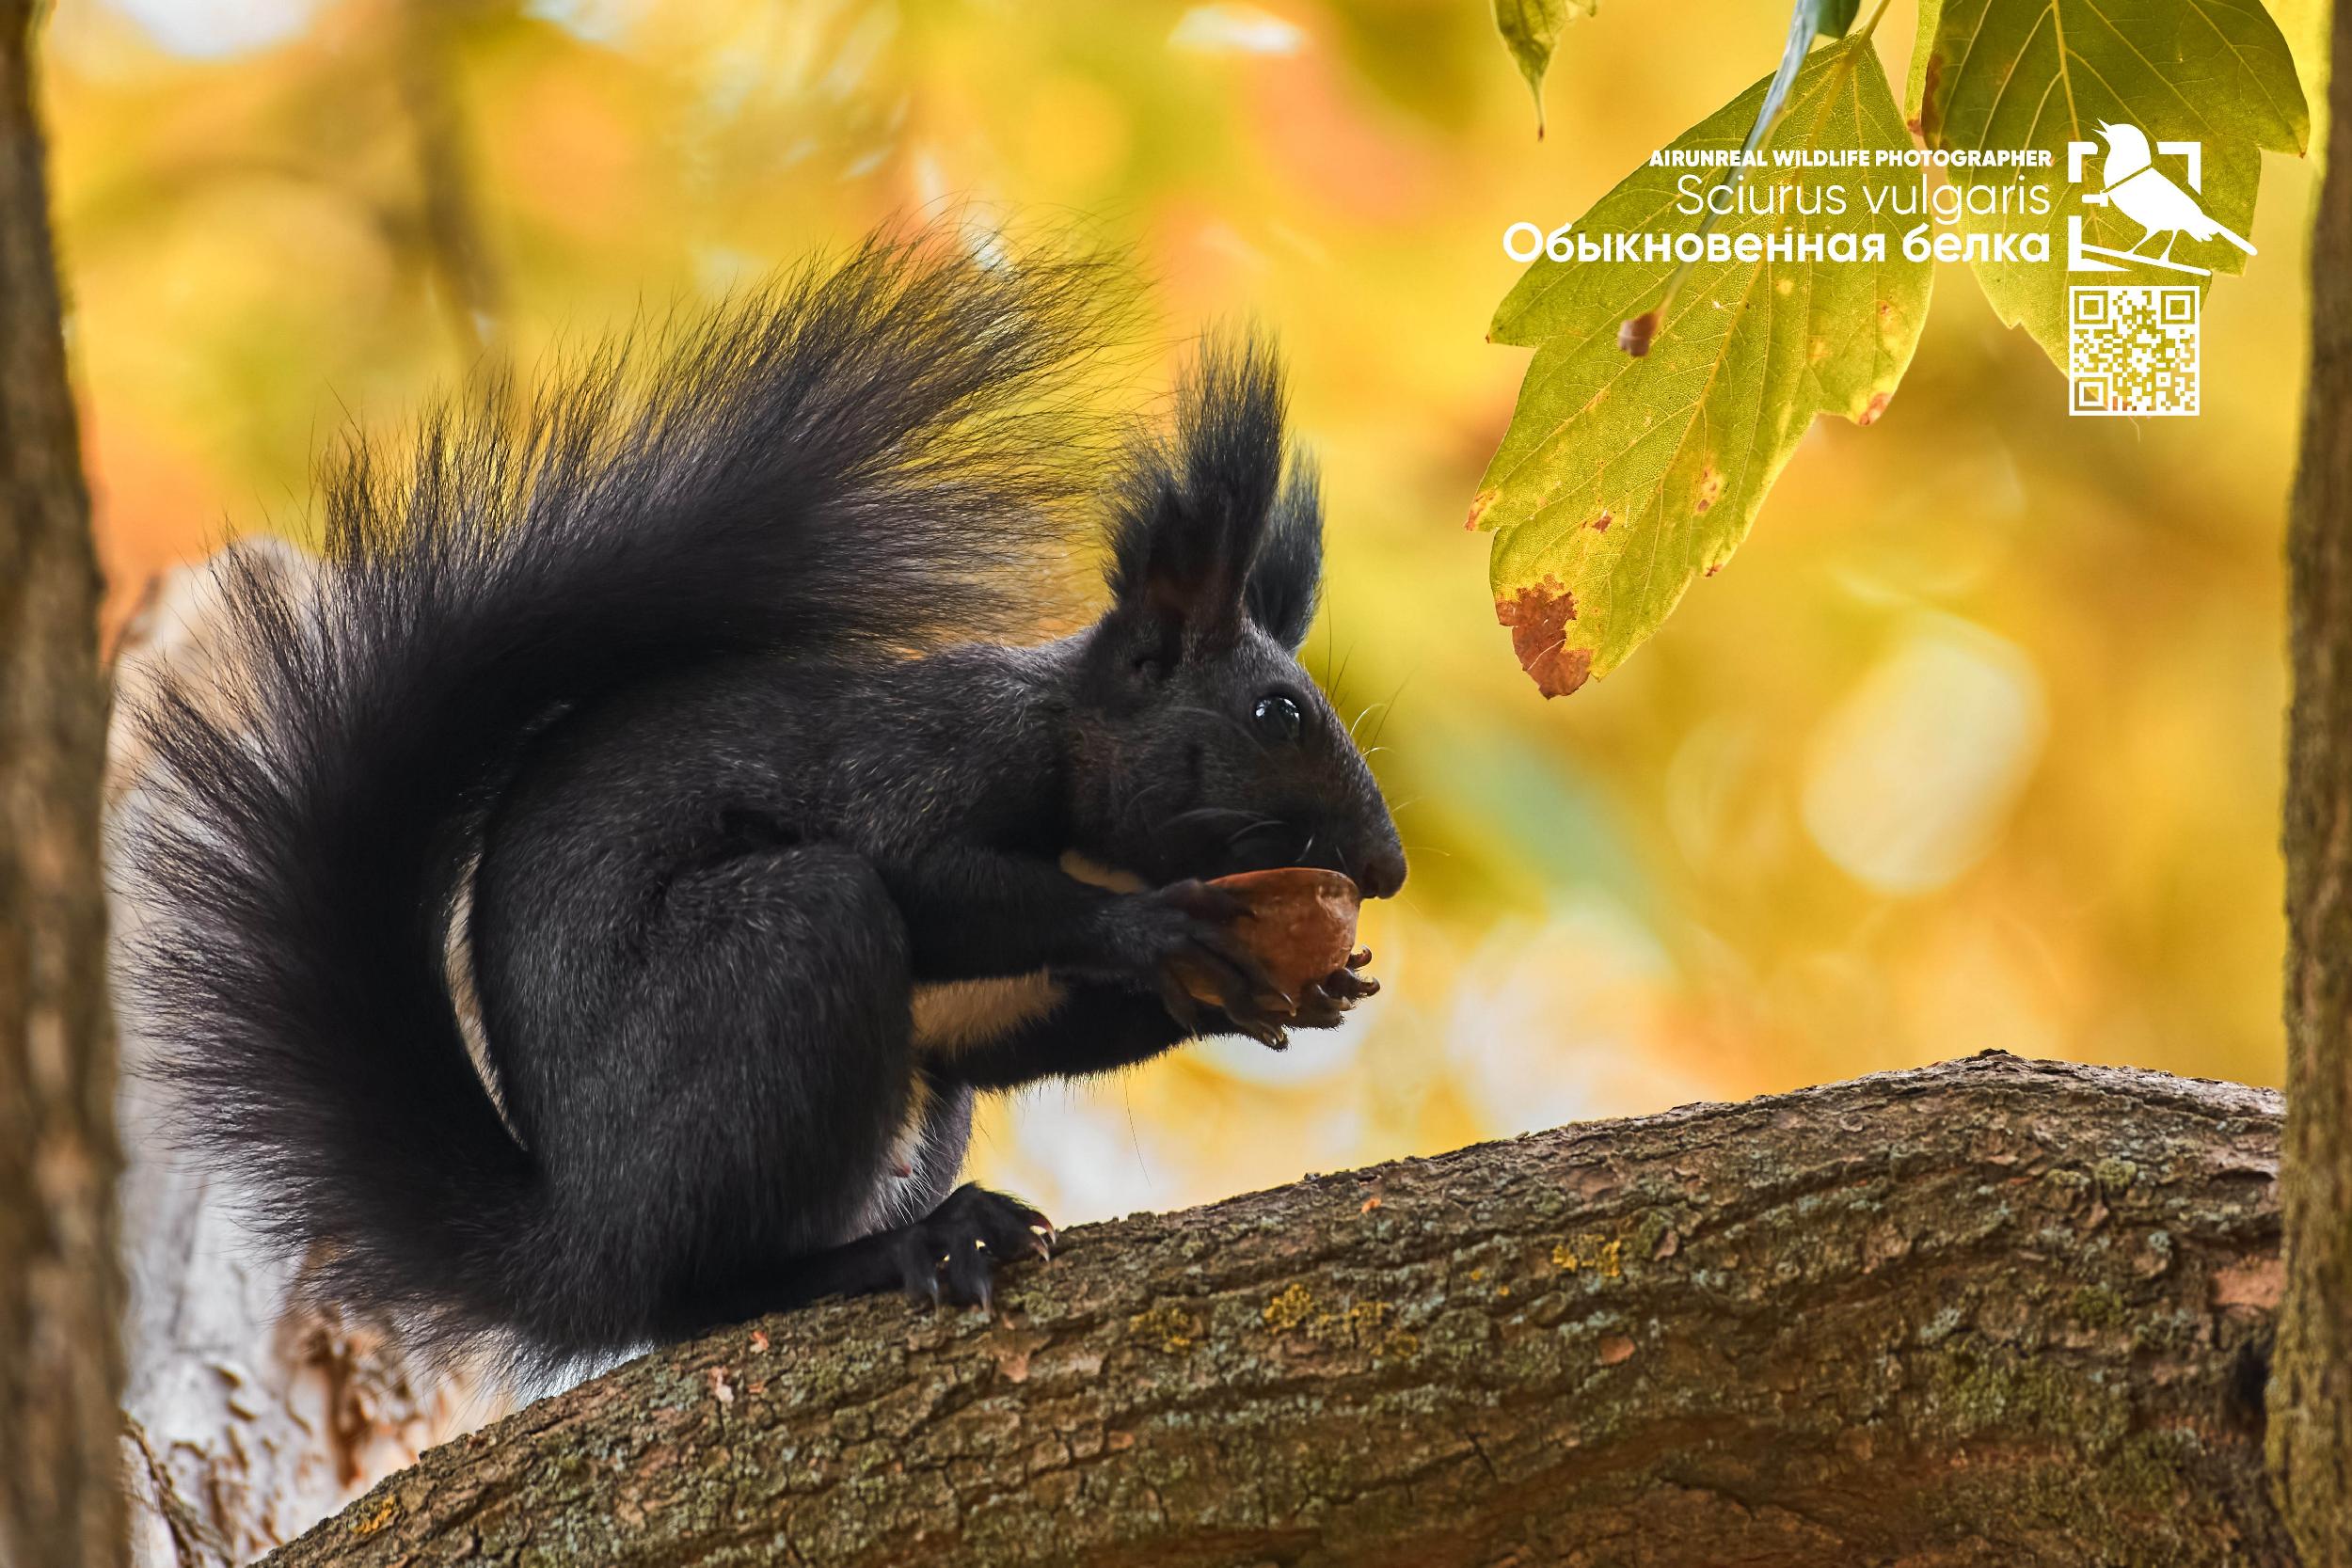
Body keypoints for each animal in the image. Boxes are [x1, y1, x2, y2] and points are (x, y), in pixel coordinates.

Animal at [121, 232, 1406, 1373]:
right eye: (1276, 714)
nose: (1385, 866)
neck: (1075, 767)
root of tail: (583, 1243)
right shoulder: (923, 758)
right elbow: (938, 882)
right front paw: (1161, 928)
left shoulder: (982, 1011)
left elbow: (1019, 1030)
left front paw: (1292, 984)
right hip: (776, 962)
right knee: (706, 1289)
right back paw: (913, 1244)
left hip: (901, 1095)